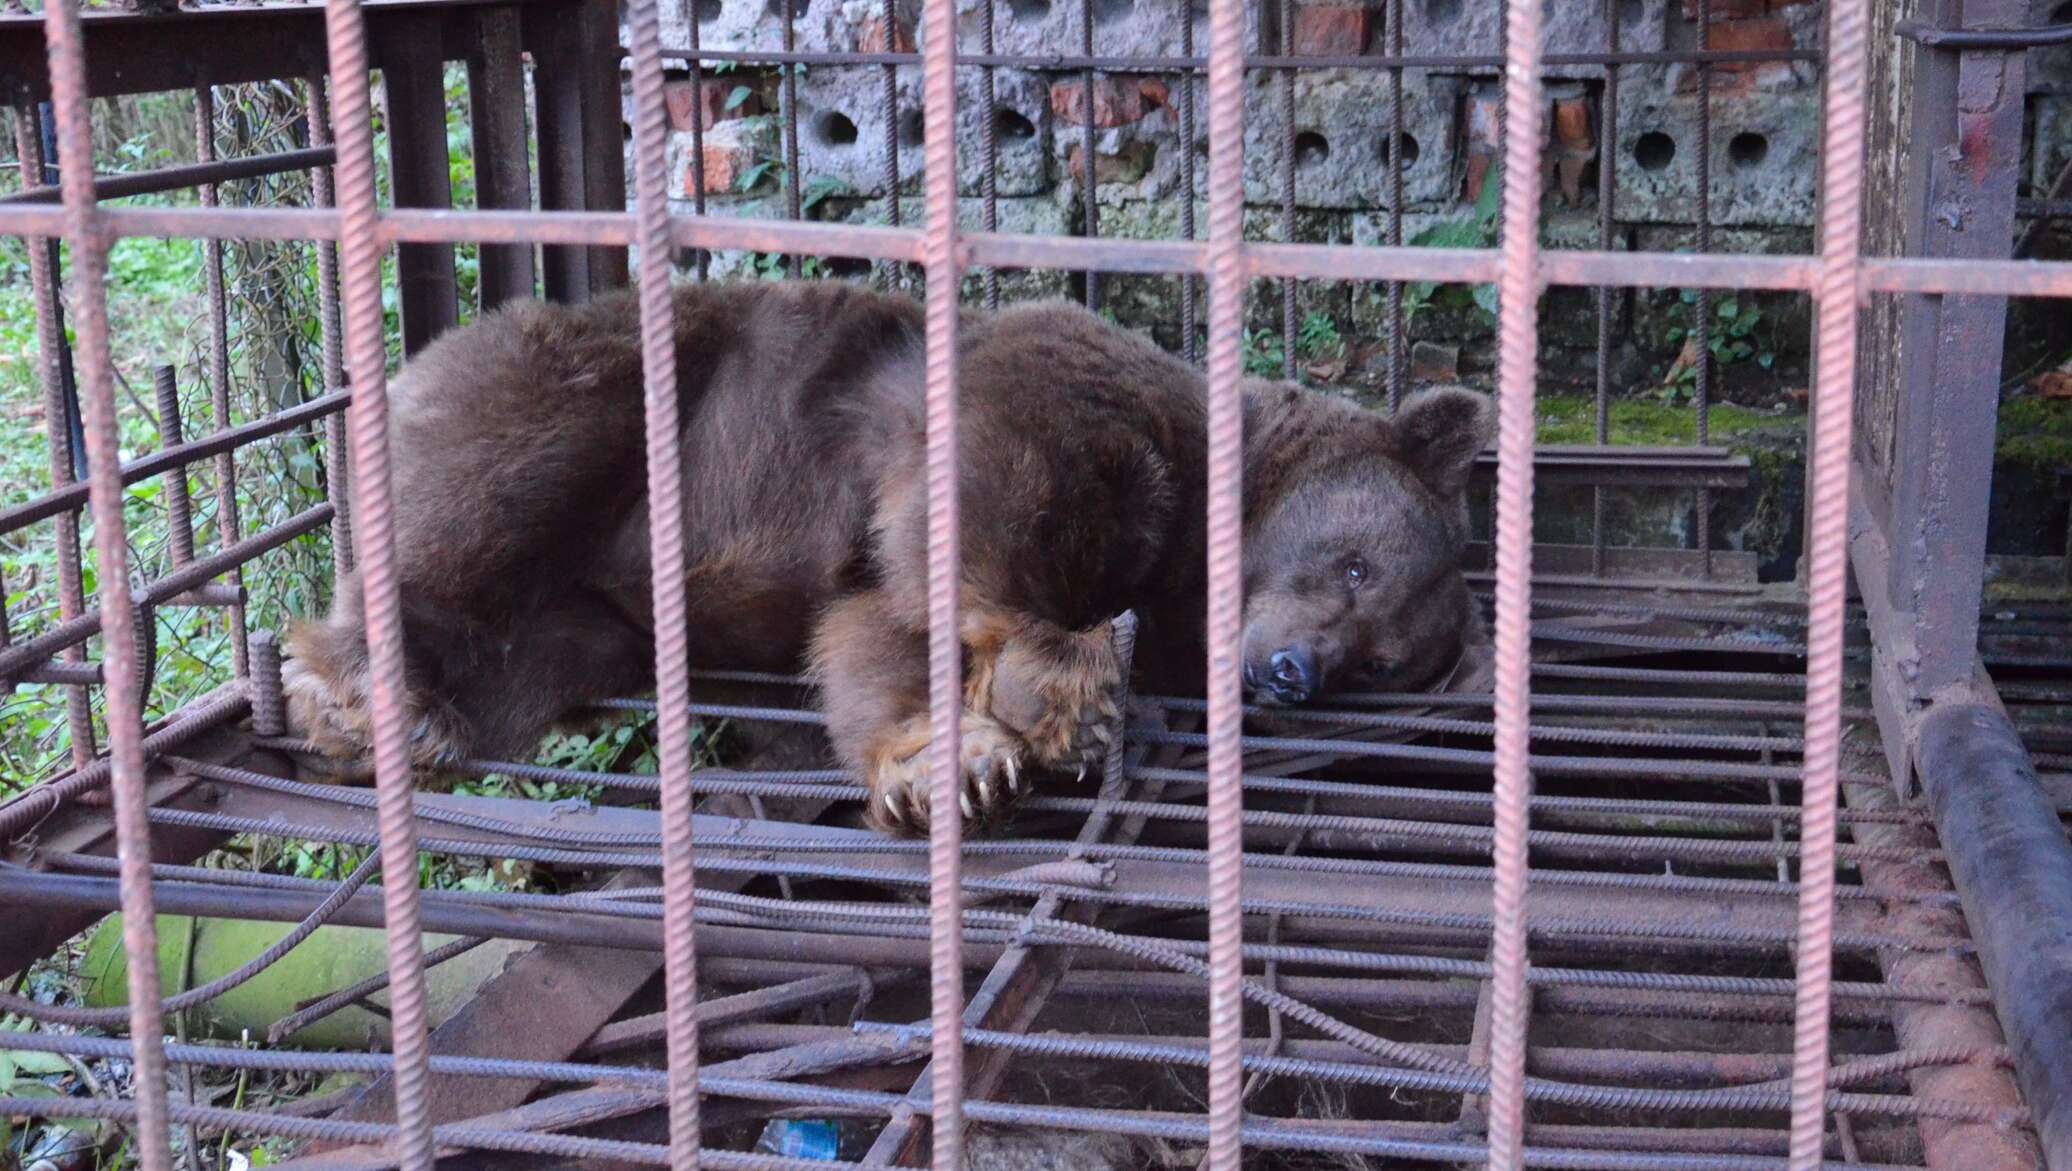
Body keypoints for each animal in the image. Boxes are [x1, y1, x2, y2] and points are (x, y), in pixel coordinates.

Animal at [283, 279, 1500, 837]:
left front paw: (949, 762)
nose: (1293, 670)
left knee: (525, 658)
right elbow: (998, 491)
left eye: (1380, 660)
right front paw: (1061, 689)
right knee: (506, 471)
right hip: (598, 383)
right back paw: (361, 681)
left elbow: (868, 641)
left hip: (593, 616)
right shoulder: (1072, 398)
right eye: (1354, 565)